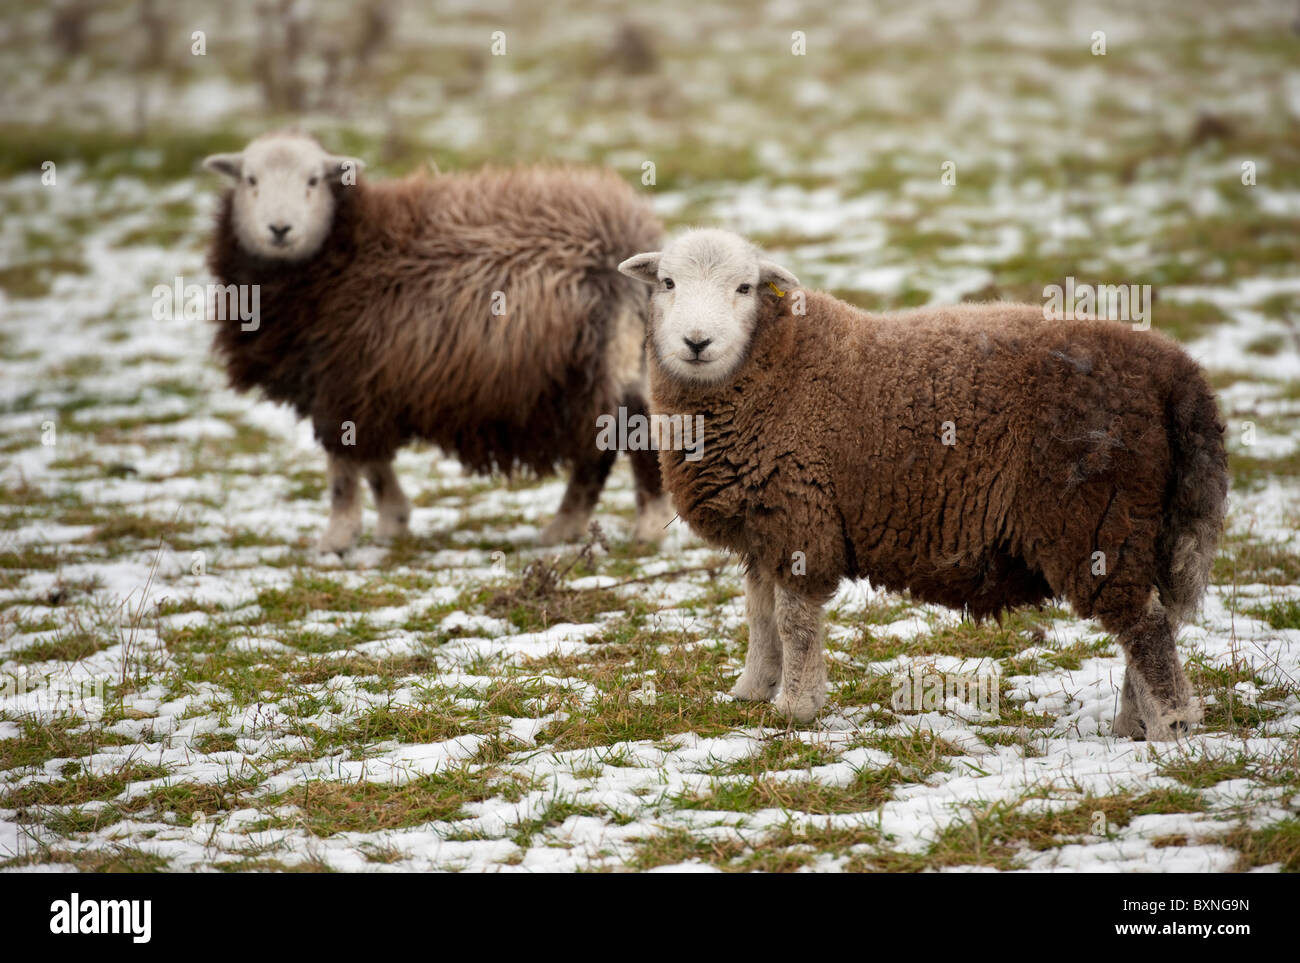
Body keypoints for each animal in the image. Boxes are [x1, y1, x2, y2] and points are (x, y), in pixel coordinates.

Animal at [203, 130, 672, 552]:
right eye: (250, 179)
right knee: (599, 450)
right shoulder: (367, 381)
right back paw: (565, 527)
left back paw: (643, 527)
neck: (343, 254)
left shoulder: (342, 382)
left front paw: (337, 539)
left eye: (313, 180)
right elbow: (373, 462)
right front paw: (393, 522)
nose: (279, 229)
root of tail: (628, 238)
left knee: (633, 432)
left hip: (605, 357)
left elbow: (344, 470)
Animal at [618, 228, 1228, 739]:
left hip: (1094, 516)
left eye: (744, 287)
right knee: (1154, 616)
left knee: (1145, 625)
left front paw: (796, 706)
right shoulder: (764, 526)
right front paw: (752, 690)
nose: (696, 342)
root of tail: (1176, 371)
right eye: (668, 283)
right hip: (1142, 520)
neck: (778, 367)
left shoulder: (801, 517)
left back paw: (1170, 722)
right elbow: (760, 614)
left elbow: (793, 622)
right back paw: (1135, 720)